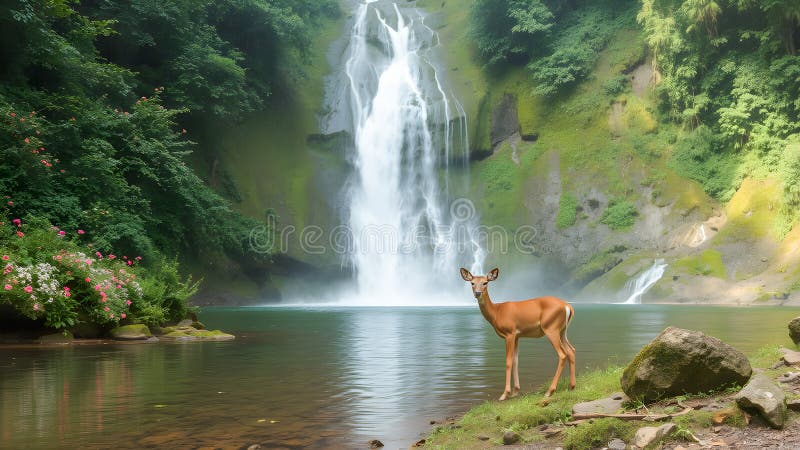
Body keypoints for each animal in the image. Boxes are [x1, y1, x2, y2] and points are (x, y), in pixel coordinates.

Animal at [460, 267, 576, 401]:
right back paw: (572, 386)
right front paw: (515, 391)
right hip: (562, 330)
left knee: (562, 354)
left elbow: (508, 361)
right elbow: (516, 360)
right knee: (571, 350)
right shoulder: (517, 335)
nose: (477, 293)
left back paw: (550, 391)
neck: (496, 313)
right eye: (472, 283)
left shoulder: (509, 333)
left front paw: (505, 394)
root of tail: (568, 307)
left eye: (485, 282)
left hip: (551, 328)